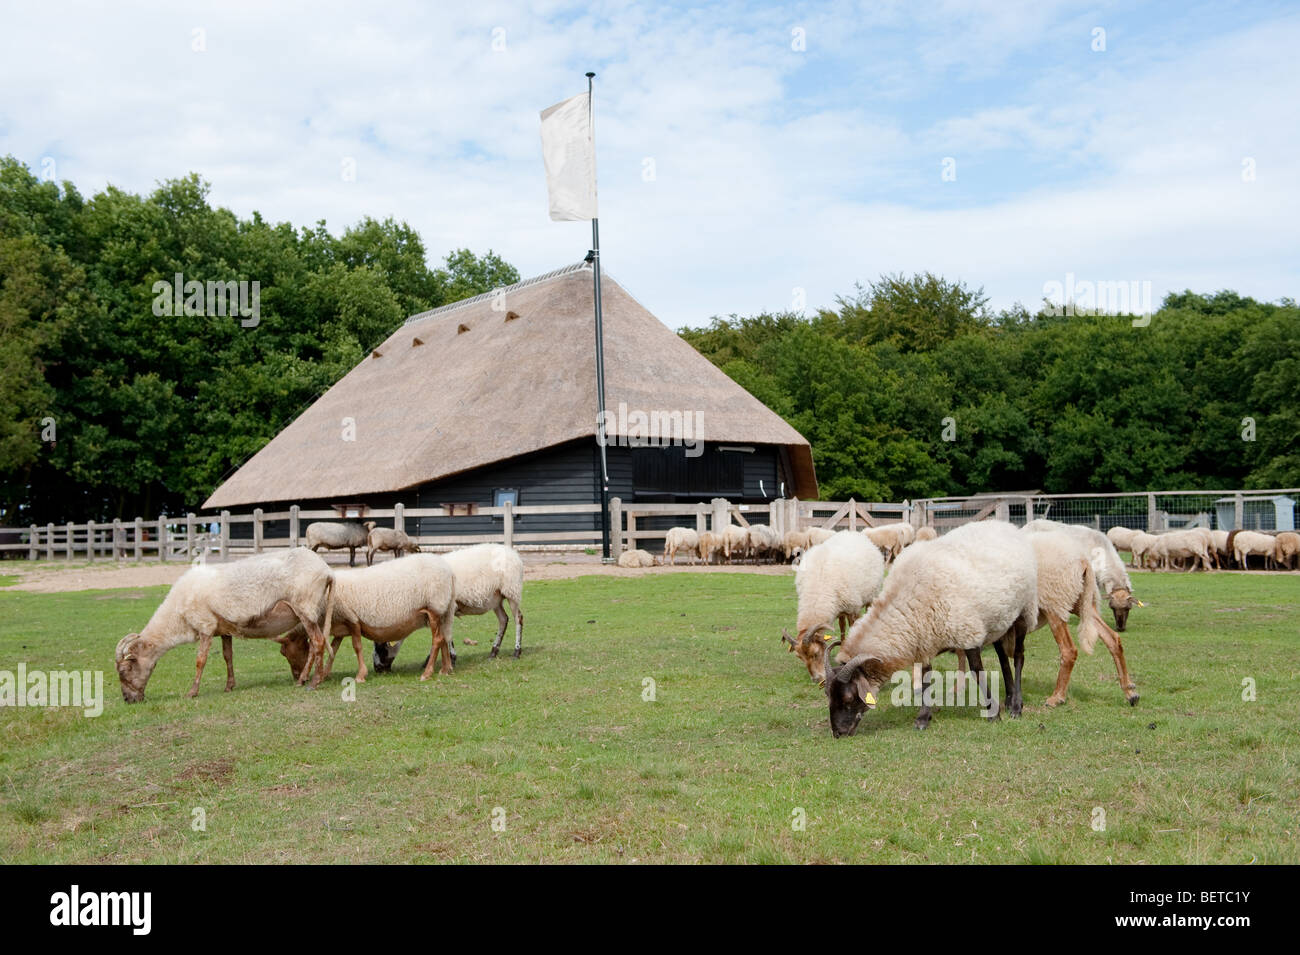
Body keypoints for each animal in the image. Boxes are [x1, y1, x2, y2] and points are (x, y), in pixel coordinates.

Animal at [114, 548, 334, 702]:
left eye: (124, 670)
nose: (128, 700)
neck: (177, 616)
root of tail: (327, 570)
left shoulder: (205, 625)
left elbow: (200, 660)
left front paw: (192, 692)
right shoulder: (224, 629)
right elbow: (228, 656)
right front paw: (229, 686)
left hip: (305, 607)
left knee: (318, 642)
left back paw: (313, 682)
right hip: (311, 612)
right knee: (314, 645)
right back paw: (304, 679)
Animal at [278, 554, 456, 684]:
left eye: (284, 652)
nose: (296, 676)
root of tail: (449, 571)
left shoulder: (351, 618)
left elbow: (356, 646)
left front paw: (360, 676)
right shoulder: (339, 625)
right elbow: (333, 649)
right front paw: (324, 674)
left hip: (434, 607)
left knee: (437, 639)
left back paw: (427, 673)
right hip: (442, 609)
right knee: (443, 638)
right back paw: (445, 669)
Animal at [373, 543, 525, 671]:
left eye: (381, 647)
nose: (377, 668)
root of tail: (514, 553)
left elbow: (444, 635)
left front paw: (450, 659)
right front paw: (432, 660)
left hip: (512, 590)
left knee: (518, 618)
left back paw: (516, 652)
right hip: (496, 598)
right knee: (503, 620)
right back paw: (493, 652)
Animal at [780, 532, 885, 685]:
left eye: (816, 654)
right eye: (799, 657)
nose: (816, 679)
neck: (816, 592)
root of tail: (852, 533)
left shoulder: (853, 609)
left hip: (870, 596)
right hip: (840, 606)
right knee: (842, 626)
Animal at [821, 520, 1037, 737]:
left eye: (848, 698)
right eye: (827, 695)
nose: (838, 733)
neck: (908, 598)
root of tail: (1005, 525)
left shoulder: (967, 632)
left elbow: (977, 671)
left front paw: (993, 714)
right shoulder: (924, 640)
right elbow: (926, 678)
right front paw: (923, 718)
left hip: (1024, 610)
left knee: (1018, 657)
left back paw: (1016, 706)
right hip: (999, 620)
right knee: (1003, 657)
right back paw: (1009, 699)